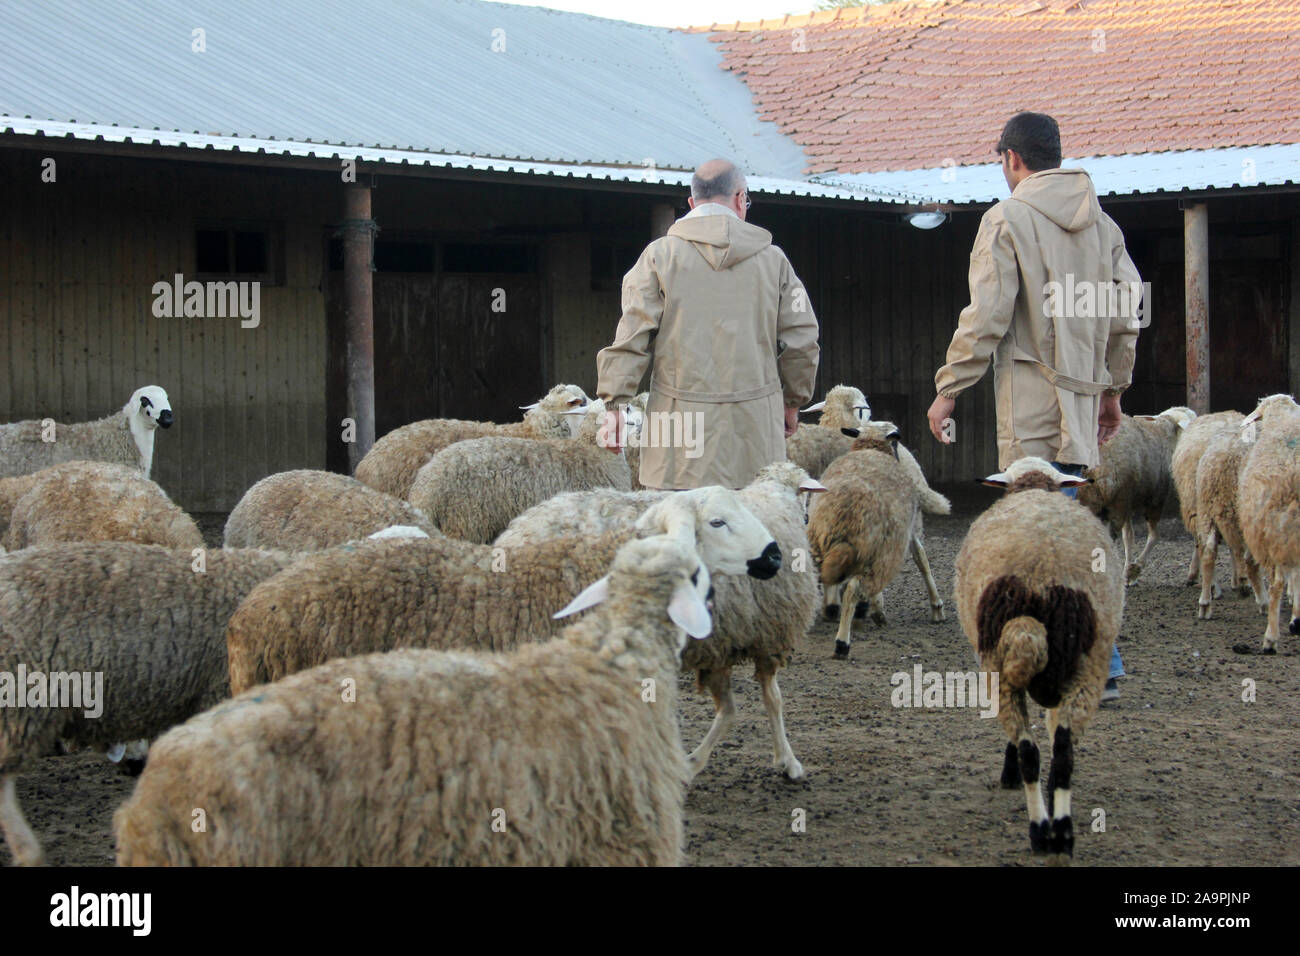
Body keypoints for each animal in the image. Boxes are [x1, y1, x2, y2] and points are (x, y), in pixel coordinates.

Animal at [494, 461, 821, 779]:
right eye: (717, 522)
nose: (774, 558)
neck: (775, 499)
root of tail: (516, 533)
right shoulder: (767, 636)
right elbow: (772, 699)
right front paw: (788, 761)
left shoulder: (722, 645)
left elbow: (731, 708)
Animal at [954, 457, 1123, 858]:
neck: (1032, 485)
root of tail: (1041, 575)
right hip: (1088, 665)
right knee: (1063, 754)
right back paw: (1061, 834)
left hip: (1001, 666)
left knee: (1030, 752)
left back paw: (1040, 831)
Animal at [1076, 406, 1197, 584]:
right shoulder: (1154, 500)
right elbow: (1153, 536)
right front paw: (1134, 569)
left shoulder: (1127, 501)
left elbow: (1129, 537)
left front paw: (1129, 571)